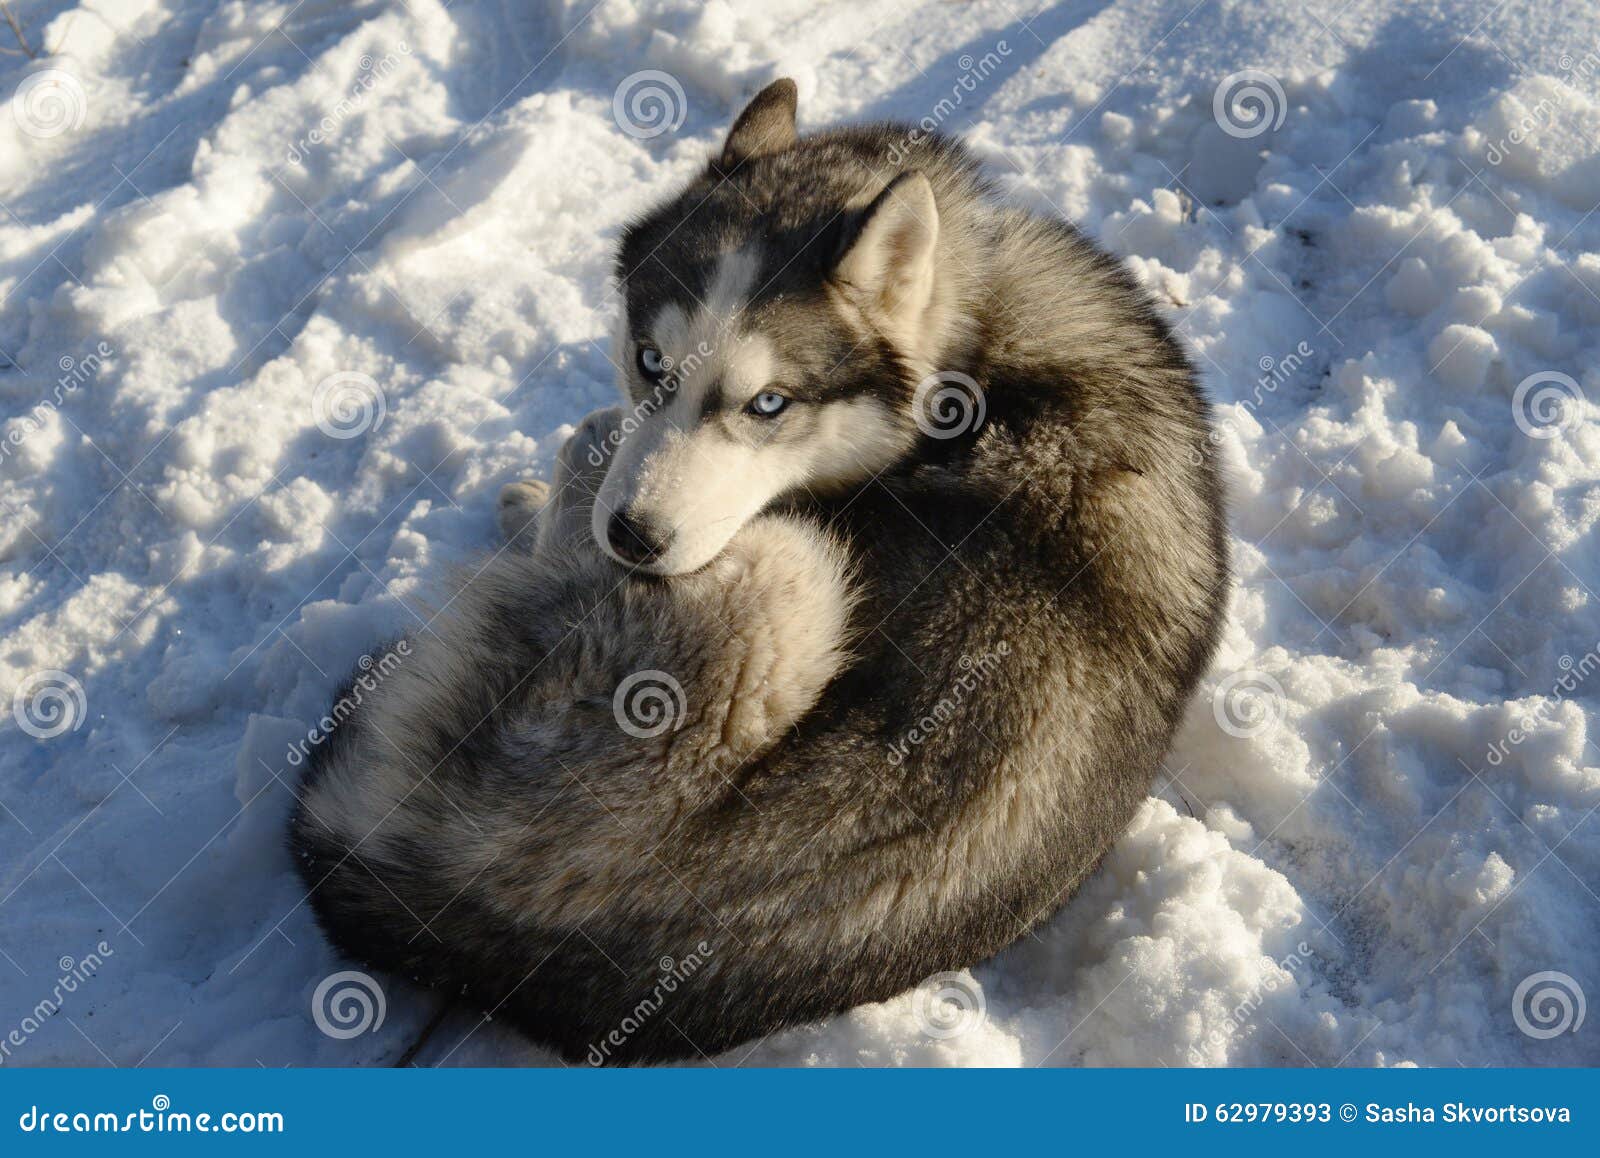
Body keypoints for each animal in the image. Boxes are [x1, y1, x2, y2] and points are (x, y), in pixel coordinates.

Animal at [289, 78, 1229, 1064]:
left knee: (598, 446)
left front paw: (541, 501)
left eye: (768, 404)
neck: (982, 349)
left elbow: (590, 432)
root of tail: (438, 895)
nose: (631, 540)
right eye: (650, 360)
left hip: (784, 581)